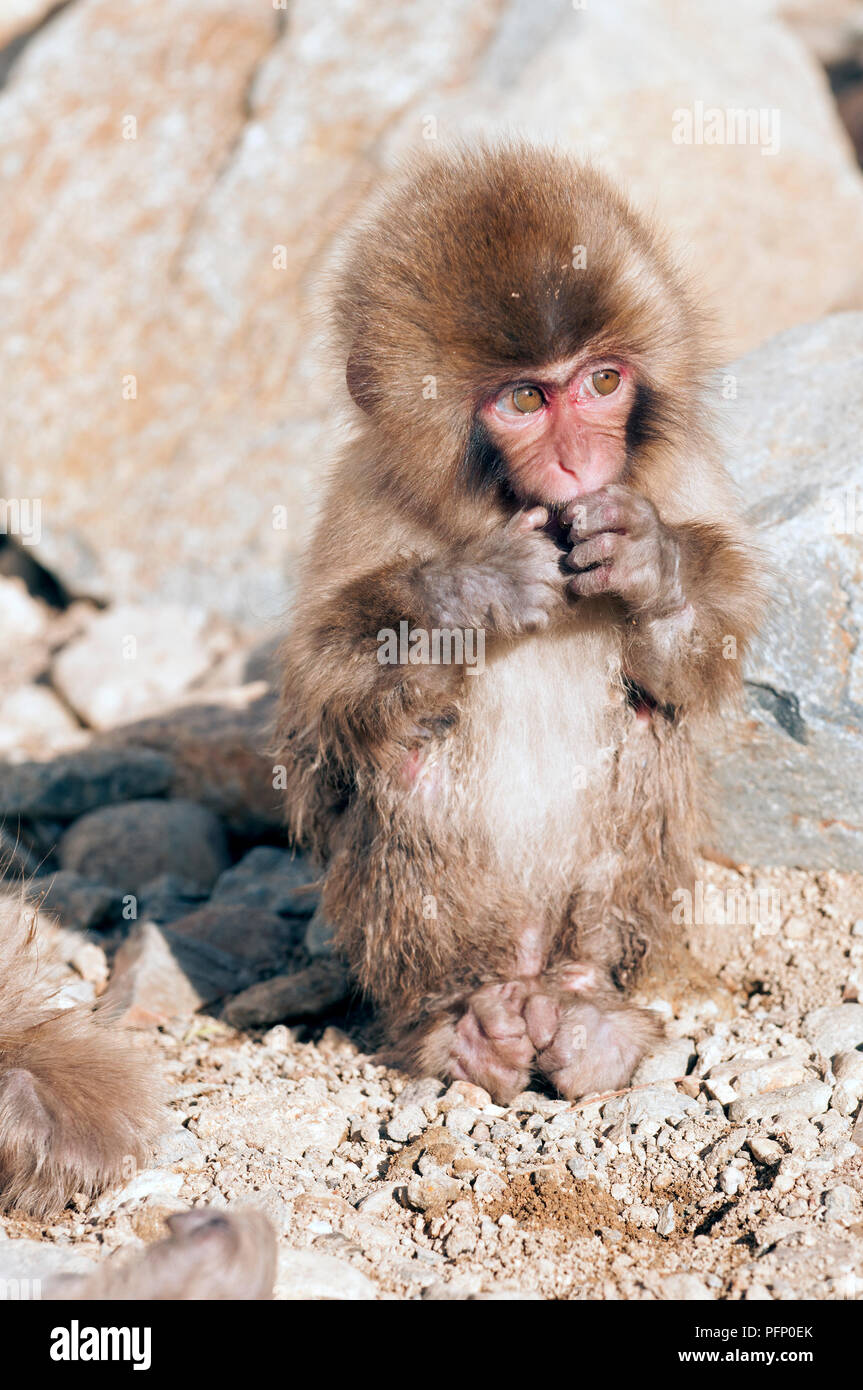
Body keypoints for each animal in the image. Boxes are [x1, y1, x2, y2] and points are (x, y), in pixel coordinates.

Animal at [276, 143, 765, 1105]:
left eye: (602, 382)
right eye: (525, 401)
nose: (579, 462)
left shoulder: (675, 472)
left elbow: (703, 655)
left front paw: (655, 569)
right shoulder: (363, 498)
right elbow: (321, 701)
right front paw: (470, 591)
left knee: (646, 725)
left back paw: (585, 1005)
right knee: (408, 750)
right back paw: (472, 1018)